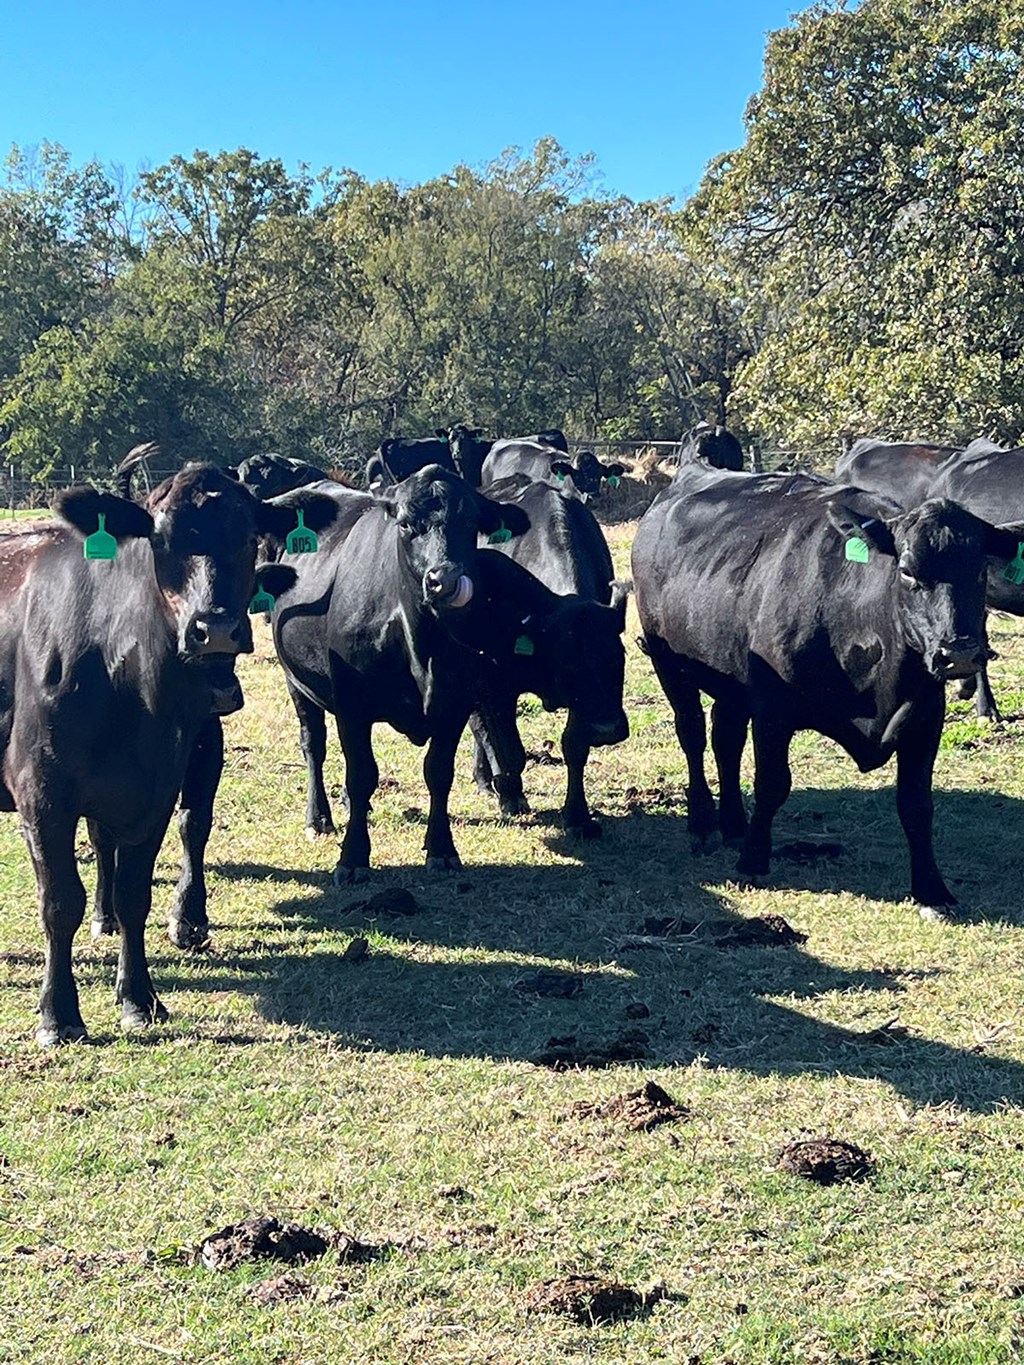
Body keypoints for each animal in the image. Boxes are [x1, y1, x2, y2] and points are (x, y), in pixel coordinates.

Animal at [0, 463, 339, 1044]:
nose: (215, 630)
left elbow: (136, 894)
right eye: (159, 539)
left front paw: (139, 998)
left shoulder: (155, 788)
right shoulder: (40, 791)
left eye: (250, 537)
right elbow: (59, 902)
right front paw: (58, 1013)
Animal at [467, 474, 629, 835]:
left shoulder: (585, 705)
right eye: (569, 665)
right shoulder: (493, 683)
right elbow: (508, 748)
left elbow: (575, 745)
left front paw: (579, 816)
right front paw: (511, 797)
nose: (607, 729)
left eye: (618, 659)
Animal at [632, 462, 1024, 919]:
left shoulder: (925, 717)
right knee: (692, 734)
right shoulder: (773, 709)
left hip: (732, 680)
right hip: (667, 662)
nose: (958, 653)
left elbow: (916, 805)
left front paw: (932, 890)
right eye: (908, 570)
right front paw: (753, 861)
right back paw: (702, 823)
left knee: (725, 739)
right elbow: (772, 784)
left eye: (980, 570)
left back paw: (733, 824)